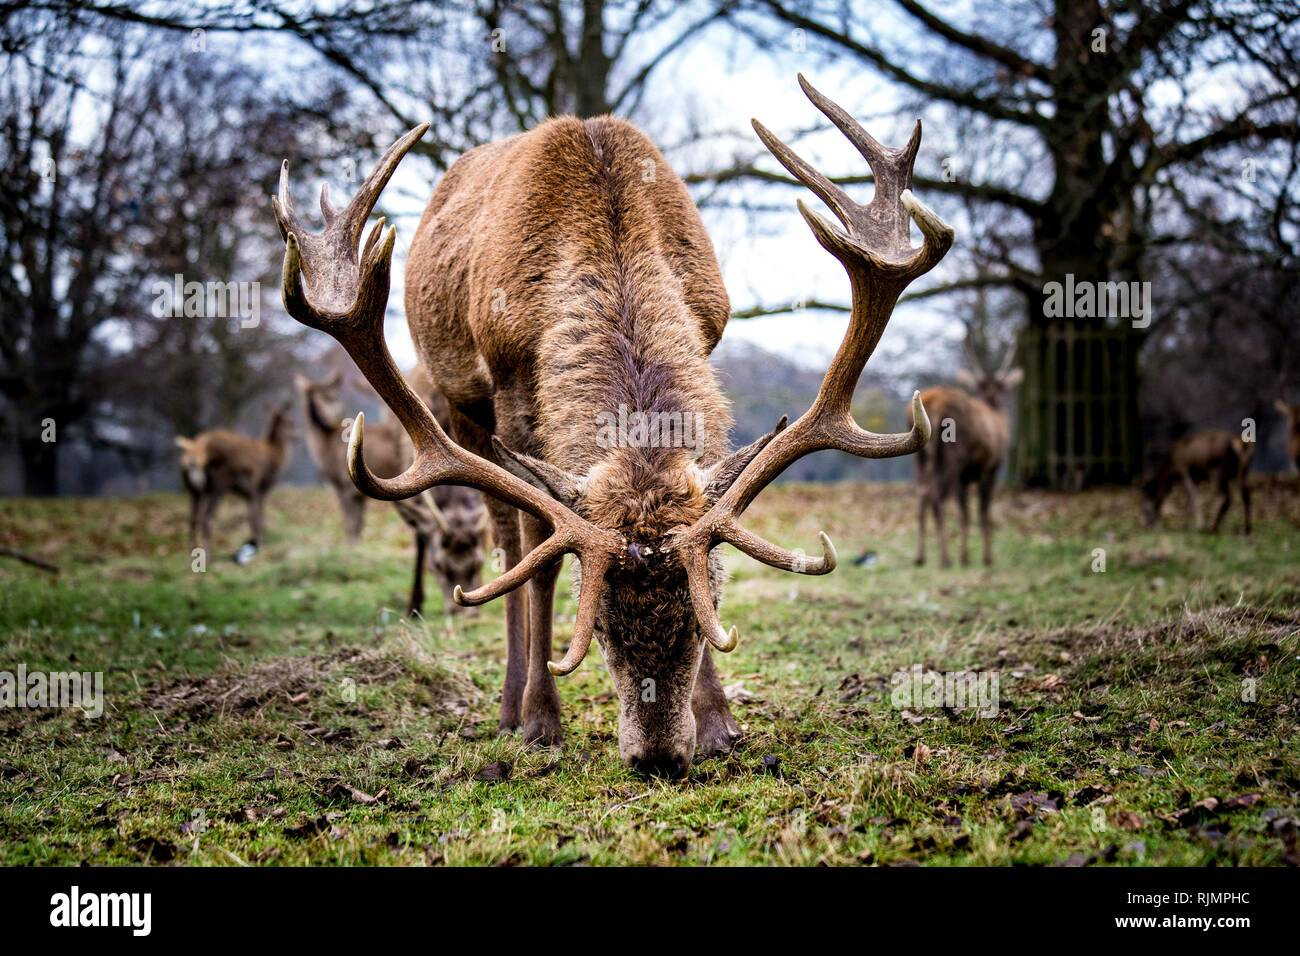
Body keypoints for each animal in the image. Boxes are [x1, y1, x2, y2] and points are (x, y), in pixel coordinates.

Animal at [175, 402, 292, 562]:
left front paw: (256, 541)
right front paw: (260, 543)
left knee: (192, 521)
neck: (274, 457)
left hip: (194, 490)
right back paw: (208, 557)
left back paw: (192, 555)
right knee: (207, 519)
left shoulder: (248, 492)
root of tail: (193, 457)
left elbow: (251, 516)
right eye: (289, 421)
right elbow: (257, 515)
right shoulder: (259, 487)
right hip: (218, 485)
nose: (297, 434)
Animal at [912, 339, 1021, 567]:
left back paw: (920, 556)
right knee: (937, 496)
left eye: (1002, 389)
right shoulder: (990, 467)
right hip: (954, 455)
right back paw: (945, 558)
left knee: (922, 494)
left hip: (921, 457)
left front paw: (966, 556)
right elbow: (982, 510)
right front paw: (985, 558)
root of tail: (934, 406)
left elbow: (965, 511)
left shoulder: (965, 475)